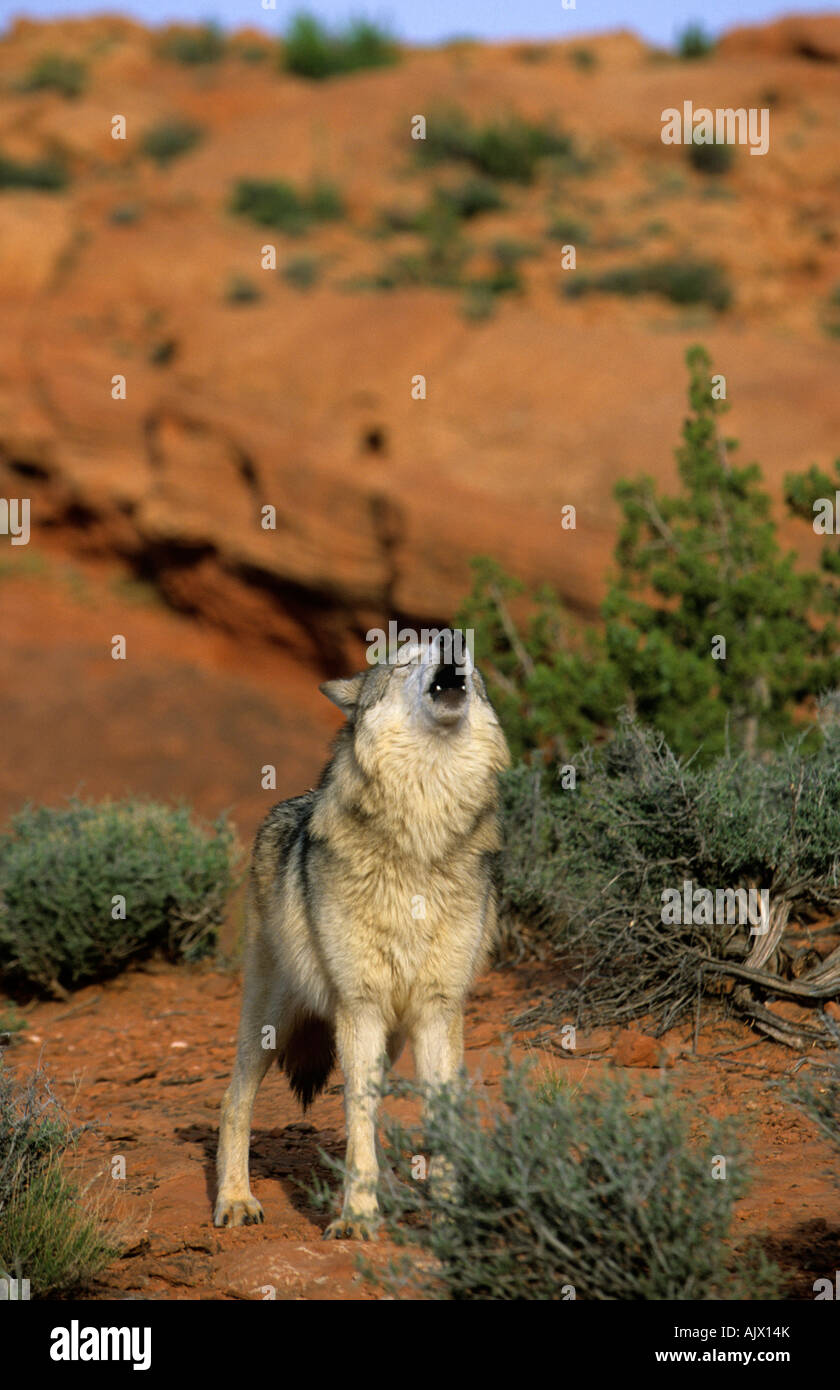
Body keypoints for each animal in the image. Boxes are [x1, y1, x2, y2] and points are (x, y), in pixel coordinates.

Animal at [214, 632, 510, 1238]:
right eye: (404, 659)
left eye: (467, 658)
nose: (453, 641)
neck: (421, 832)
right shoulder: (360, 1007)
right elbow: (356, 1118)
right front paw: (356, 1217)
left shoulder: (437, 1010)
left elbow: (428, 1117)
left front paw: (447, 1216)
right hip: (270, 1022)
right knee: (233, 1104)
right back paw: (235, 1200)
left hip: (391, 1037)